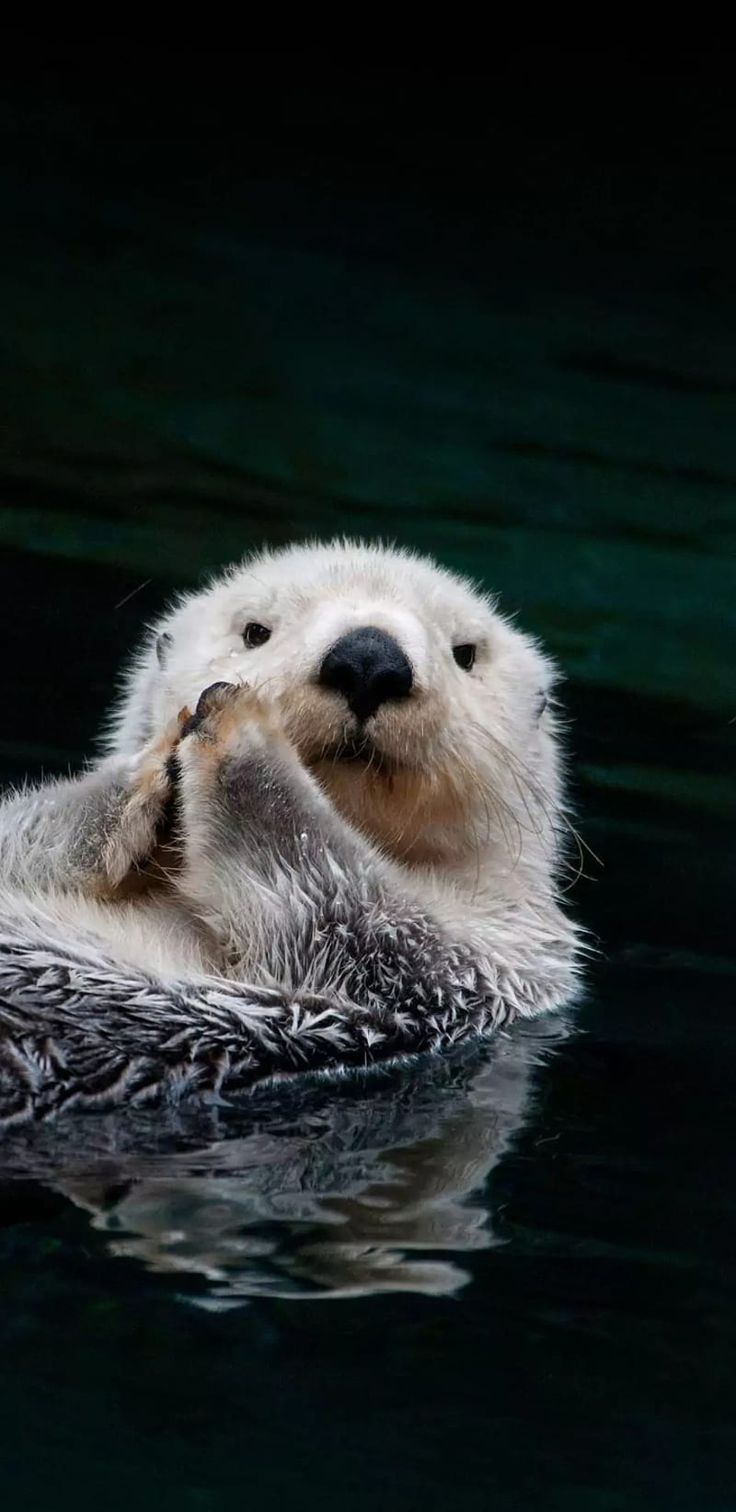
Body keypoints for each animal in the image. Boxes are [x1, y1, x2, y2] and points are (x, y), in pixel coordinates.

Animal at [0, 541, 580, 1126]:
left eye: (466, 653)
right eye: (255, 630)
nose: (369, 659)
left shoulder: (478, 962)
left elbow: (349, 908)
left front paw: (241, 727)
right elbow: (24, 830)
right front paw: (152, 761)